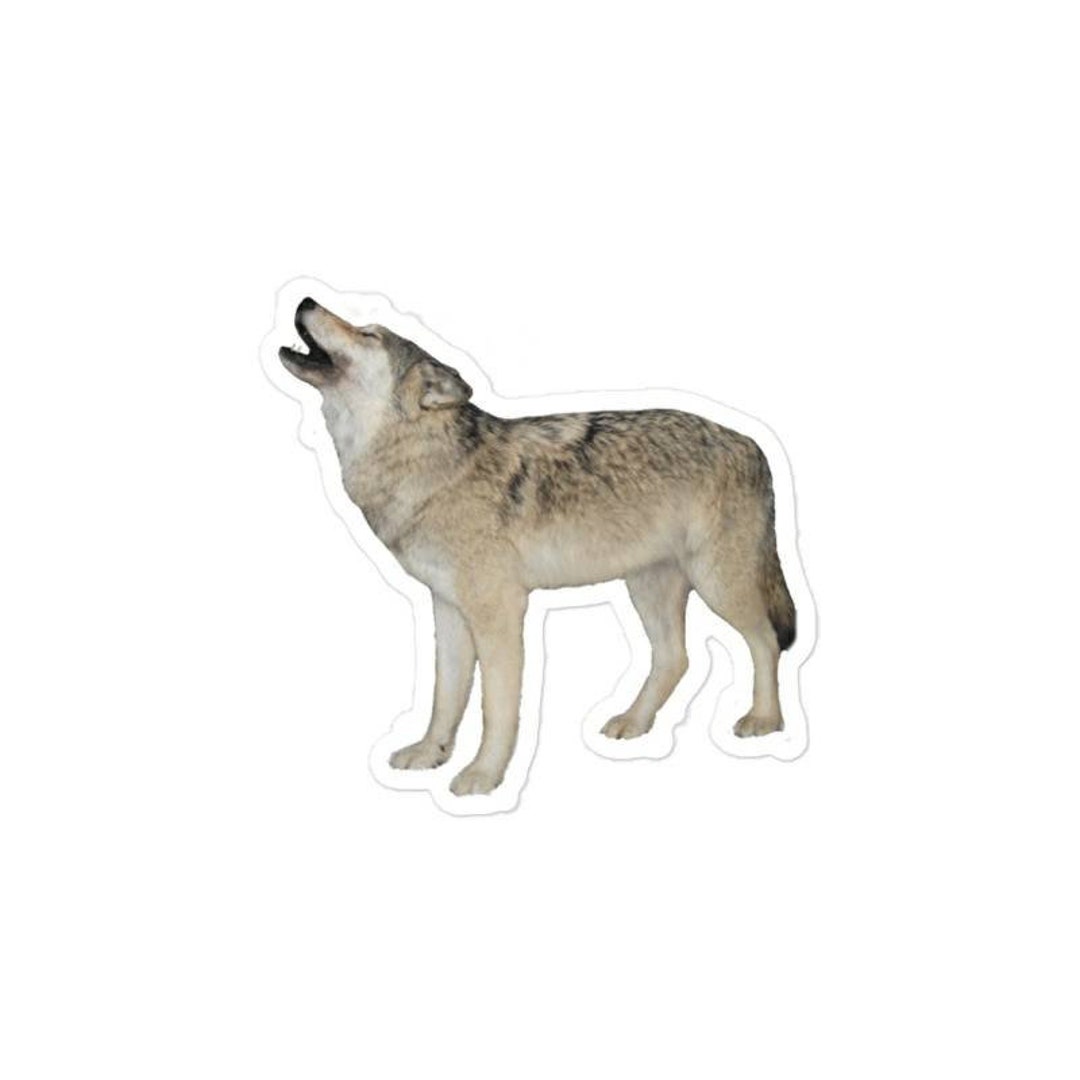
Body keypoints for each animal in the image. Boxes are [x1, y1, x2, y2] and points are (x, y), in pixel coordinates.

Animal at [279, 298, 797, 795]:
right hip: (647, 588)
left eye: (368, 333)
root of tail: (752, 444)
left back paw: (765, 720)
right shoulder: (447, 608)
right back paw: (634, 722)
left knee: (766, 641)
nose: (304, 299)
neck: (430, 464)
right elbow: (445, 696)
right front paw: (431, 753)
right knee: (676, 657)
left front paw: (483, 775)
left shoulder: (499, 612)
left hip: (718, 584)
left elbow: (496, 707)